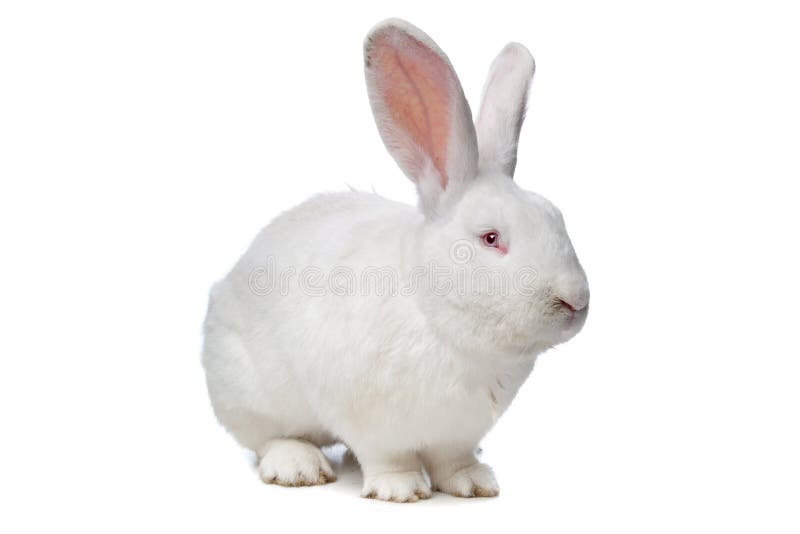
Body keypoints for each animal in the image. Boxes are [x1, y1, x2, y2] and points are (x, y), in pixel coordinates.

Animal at [202, 18, 589, 502]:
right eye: (491, 238)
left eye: (557, 217)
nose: (576, 301)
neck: (440, 321)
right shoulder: (367, 418)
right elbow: (387, 457)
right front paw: (400, 490)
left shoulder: (457, 432)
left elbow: (452, 459)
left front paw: (473, 483)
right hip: (251, 392)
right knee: (269, 437)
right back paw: (298, 466)